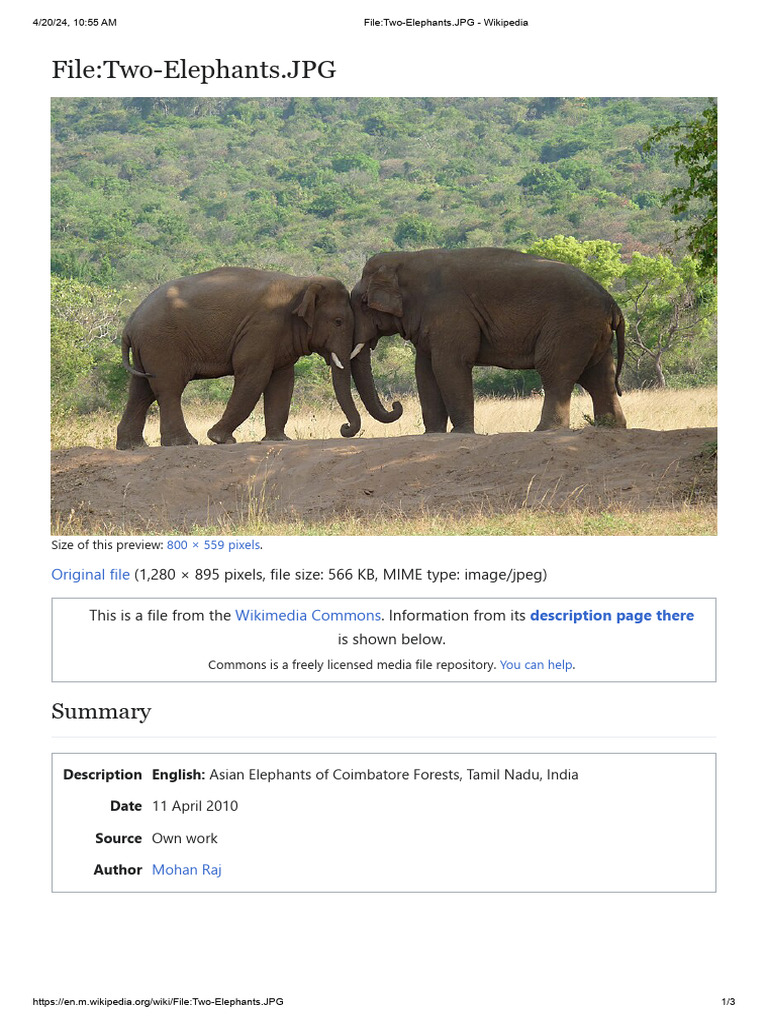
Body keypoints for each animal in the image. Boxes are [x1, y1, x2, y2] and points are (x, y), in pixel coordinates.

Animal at [116, 267, 402, 449]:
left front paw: (278, 441)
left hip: (148, 349)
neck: (302, 283)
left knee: (141, 391)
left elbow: (282, 382)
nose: (344, 428)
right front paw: (220, 439)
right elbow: (254, 376)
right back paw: (183, 443)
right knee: (168, 389)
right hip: (162, 343)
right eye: (339, 321)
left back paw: (132, 447)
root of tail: (130, 325)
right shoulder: (263, 328)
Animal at [350, 247, 627, 433]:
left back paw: (546, 430)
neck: (407, 258)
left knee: (555, 371)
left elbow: (449, 365)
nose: (396, 405)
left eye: (363, 303)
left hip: (571, 326)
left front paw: (461, 434)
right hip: (591, 332)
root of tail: (612, 302)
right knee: (599, 377)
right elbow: (425, 371)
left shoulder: (450, 311)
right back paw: (610, 427)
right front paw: (433, 434)